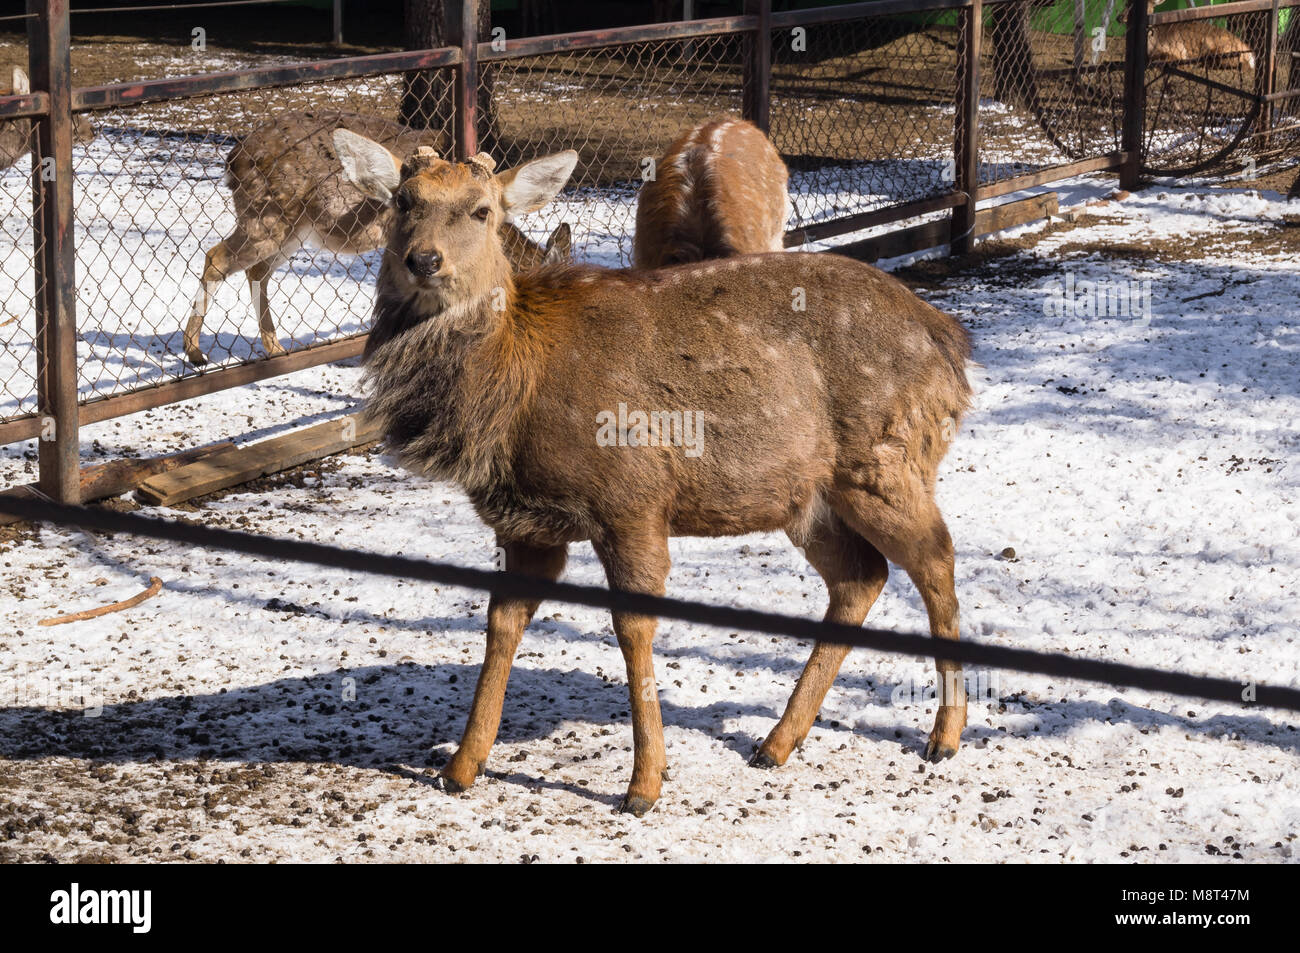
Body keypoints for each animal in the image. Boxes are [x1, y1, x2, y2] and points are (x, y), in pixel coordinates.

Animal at [183, 110, 575, 366]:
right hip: (265, 217)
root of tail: (232, 158)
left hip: (291, 231)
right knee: (216, 257)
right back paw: (195, 351)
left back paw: (275, 349)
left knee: (257, 272)